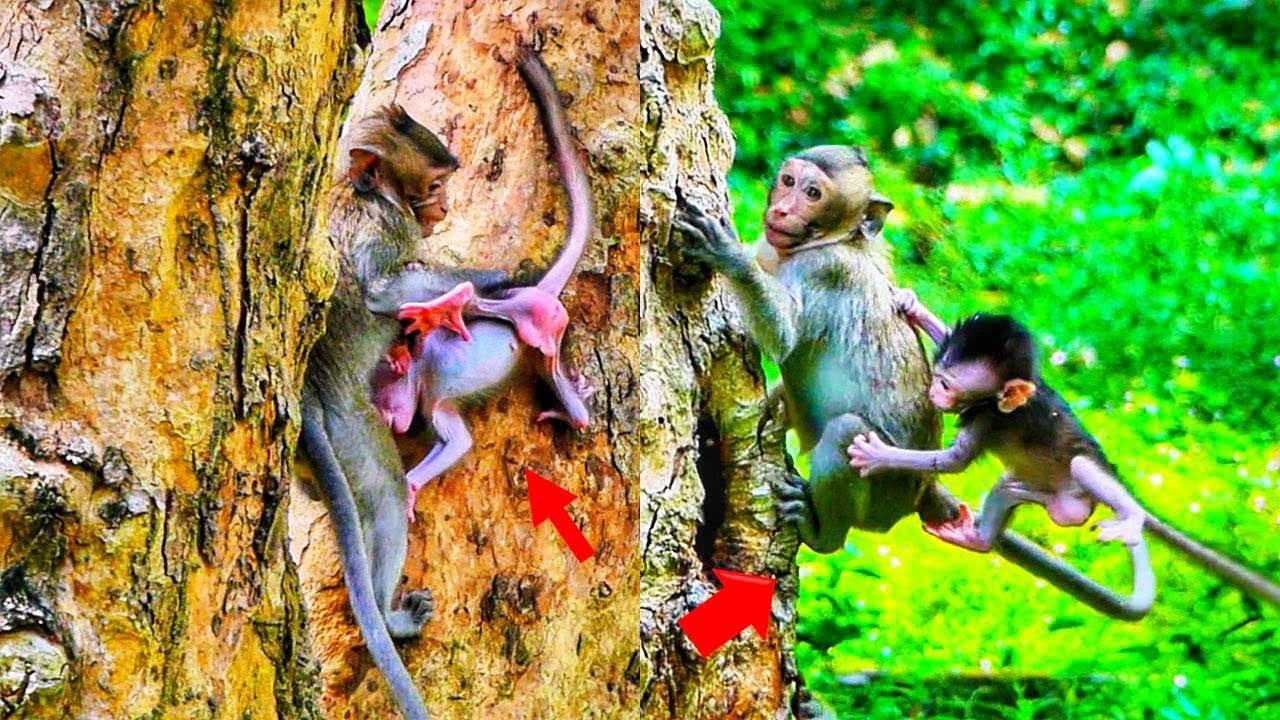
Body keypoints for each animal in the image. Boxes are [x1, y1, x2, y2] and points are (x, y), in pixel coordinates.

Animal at [365, 50, 594, 523]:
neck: (417, 374)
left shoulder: (433, 403)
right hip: (546, 356)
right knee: (574, 405)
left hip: (536, 319)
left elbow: (458, 444)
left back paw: (454, 304)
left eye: (385, 400)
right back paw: (572, 407)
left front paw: (409, 486)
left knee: (498, 308)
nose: (392, 424)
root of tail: (545, 293)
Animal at [847, 292, 1280, 611]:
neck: (999, 402)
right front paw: (915, 307)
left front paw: (878, 456)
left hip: (1083, 485)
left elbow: (953, 461)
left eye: (947, 385)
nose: (934, 392)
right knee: (1007, 488)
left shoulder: (990, 419)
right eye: (937, 376)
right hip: (1048, 497)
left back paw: (1131, 520)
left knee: (1083, 467)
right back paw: (978, 540)